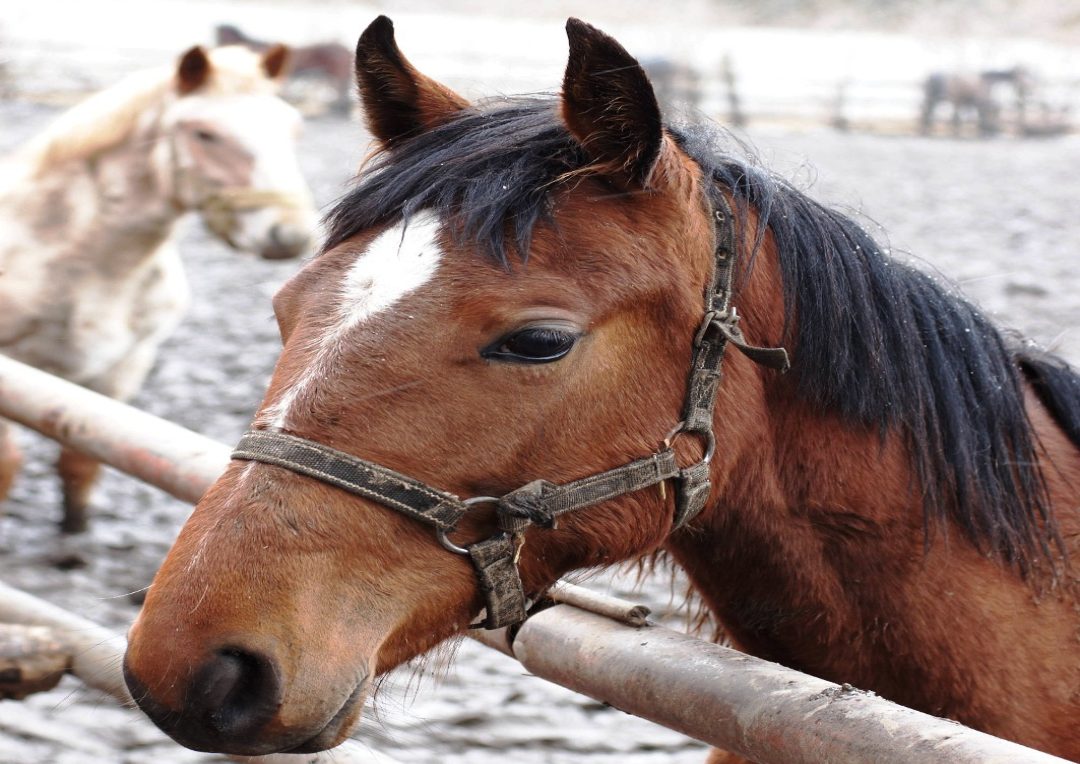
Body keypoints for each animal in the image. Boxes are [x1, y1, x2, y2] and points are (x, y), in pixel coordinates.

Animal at [0, 44, 317, 533]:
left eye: (294, 128)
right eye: (204, 133)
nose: (289, 235)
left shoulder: (121, 369)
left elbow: (80, 463)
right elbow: (8, 465)